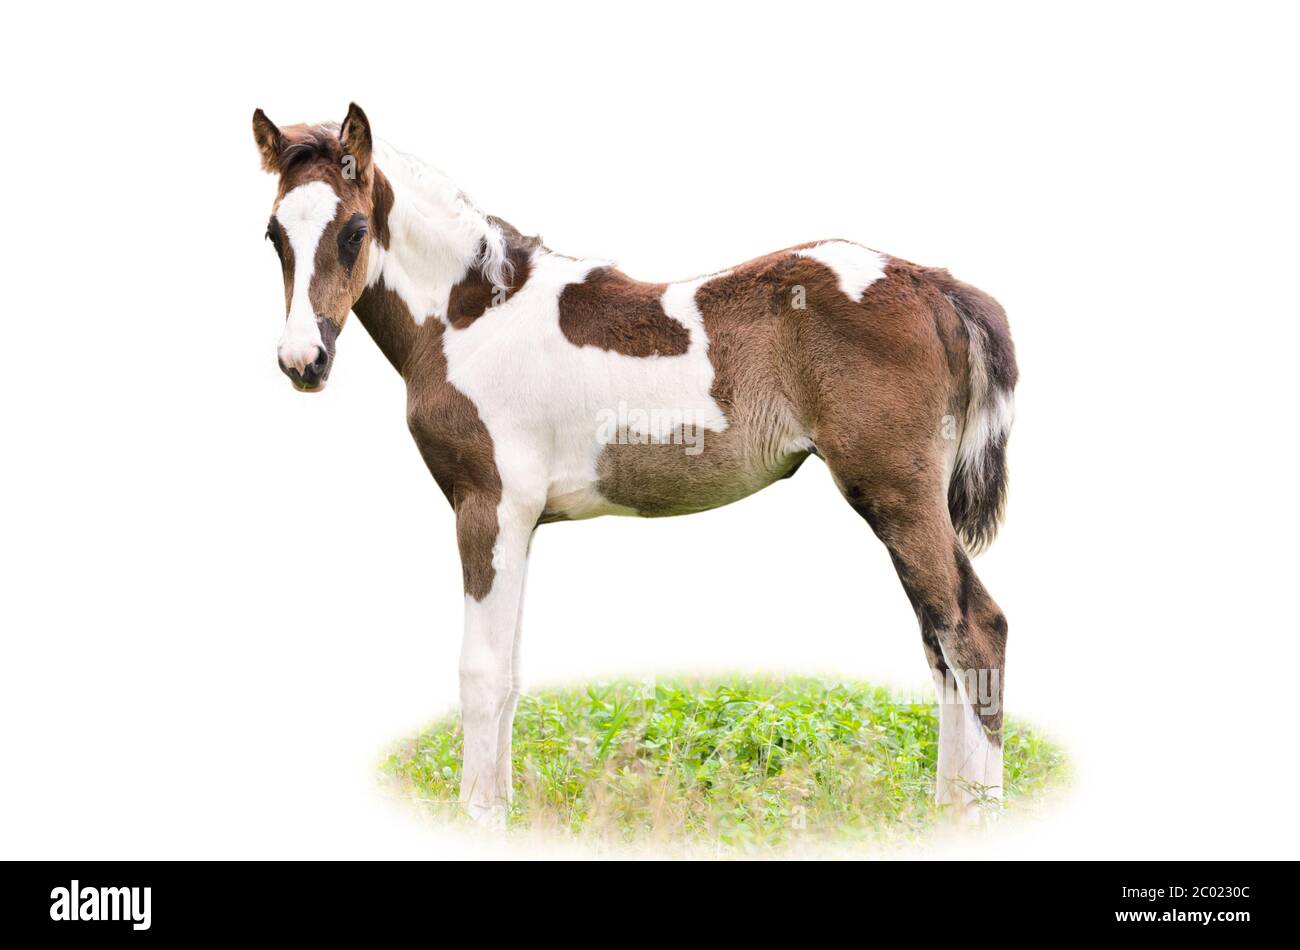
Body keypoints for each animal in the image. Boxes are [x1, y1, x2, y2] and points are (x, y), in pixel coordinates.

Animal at [252, 103, 1018, 827]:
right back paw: (947, 808)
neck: (471, 319)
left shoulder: (488, 506)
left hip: (894, 492)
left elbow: (482, 671)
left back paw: (978, 815)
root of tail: (935, 287)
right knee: (939, 640)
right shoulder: (521, 522)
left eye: (354, 230)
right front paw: (501, 809)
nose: (302, 362)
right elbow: (510, 673)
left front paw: (477, 814)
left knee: (973, 630)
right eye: (273, 234)